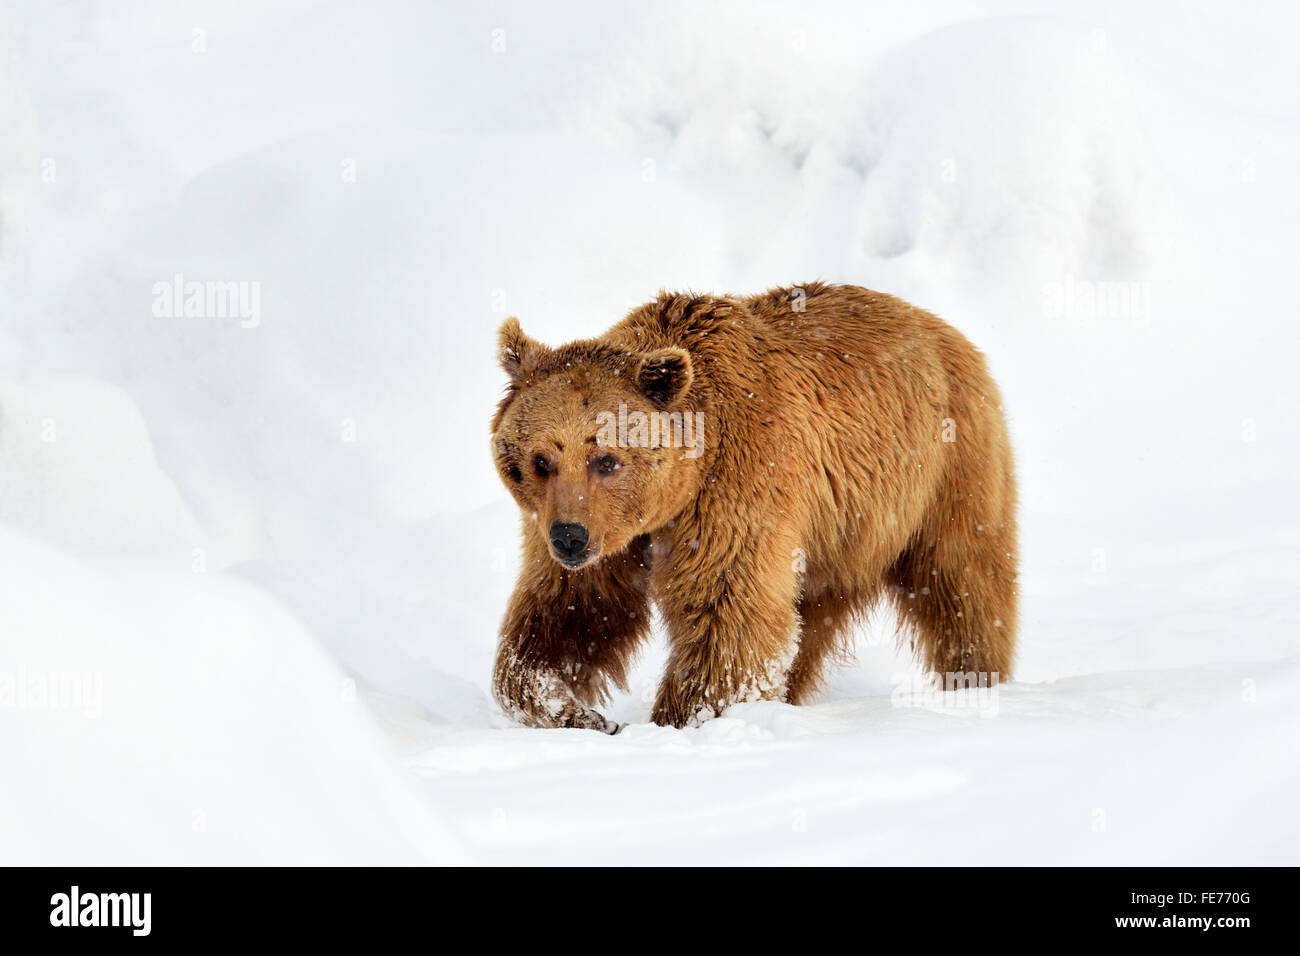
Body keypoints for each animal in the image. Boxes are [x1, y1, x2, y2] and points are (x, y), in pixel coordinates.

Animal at [489, 282, 1017, 731]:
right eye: (541, 459)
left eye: (606, 459)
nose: (569, 537)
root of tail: (946, 332)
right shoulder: (604, 538)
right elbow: (573, 612)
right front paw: (573, 710)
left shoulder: (734, 490)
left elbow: (727, 620)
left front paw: (679, 719)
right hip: (835, 539)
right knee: (807, 622)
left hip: (944, 475)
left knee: (963, 584)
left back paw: (974, 680)